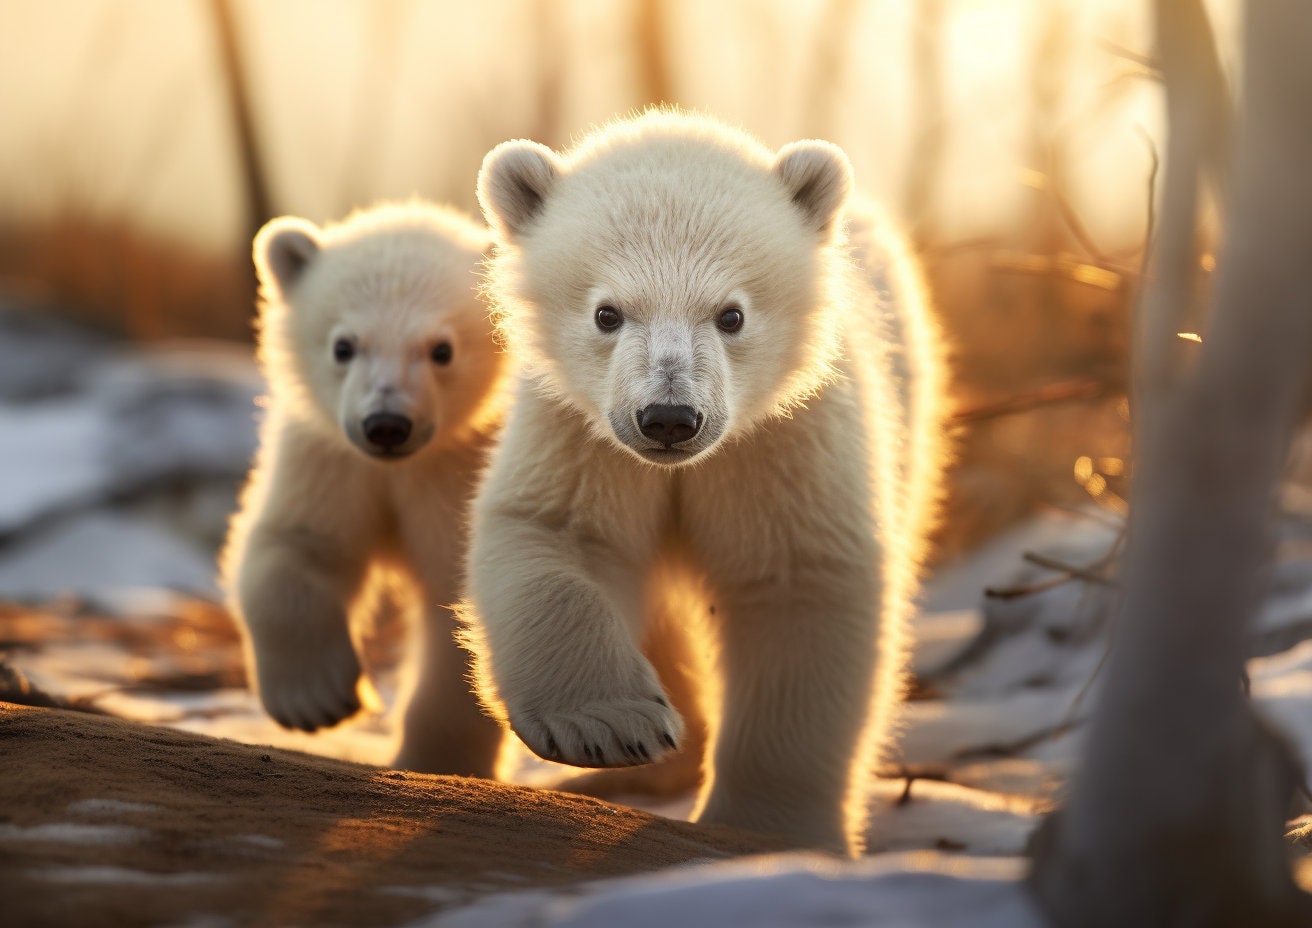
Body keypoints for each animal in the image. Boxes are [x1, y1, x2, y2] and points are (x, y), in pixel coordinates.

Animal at [220, 201, 506, 778]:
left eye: (442, 349)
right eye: (344, 345)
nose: (386, 425)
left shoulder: (462, 469)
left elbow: (460, 606)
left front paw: (438, 760)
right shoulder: (332, 459)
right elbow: (298, 542)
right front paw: (316, 701)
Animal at [461, 110, 947, 855]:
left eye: (731, 314)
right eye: (607, 313)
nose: (668, 418)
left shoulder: (783, 444)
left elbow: (796, 587)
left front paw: (770, 826)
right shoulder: (579, 433)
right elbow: (557, 535)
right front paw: (610, 726)